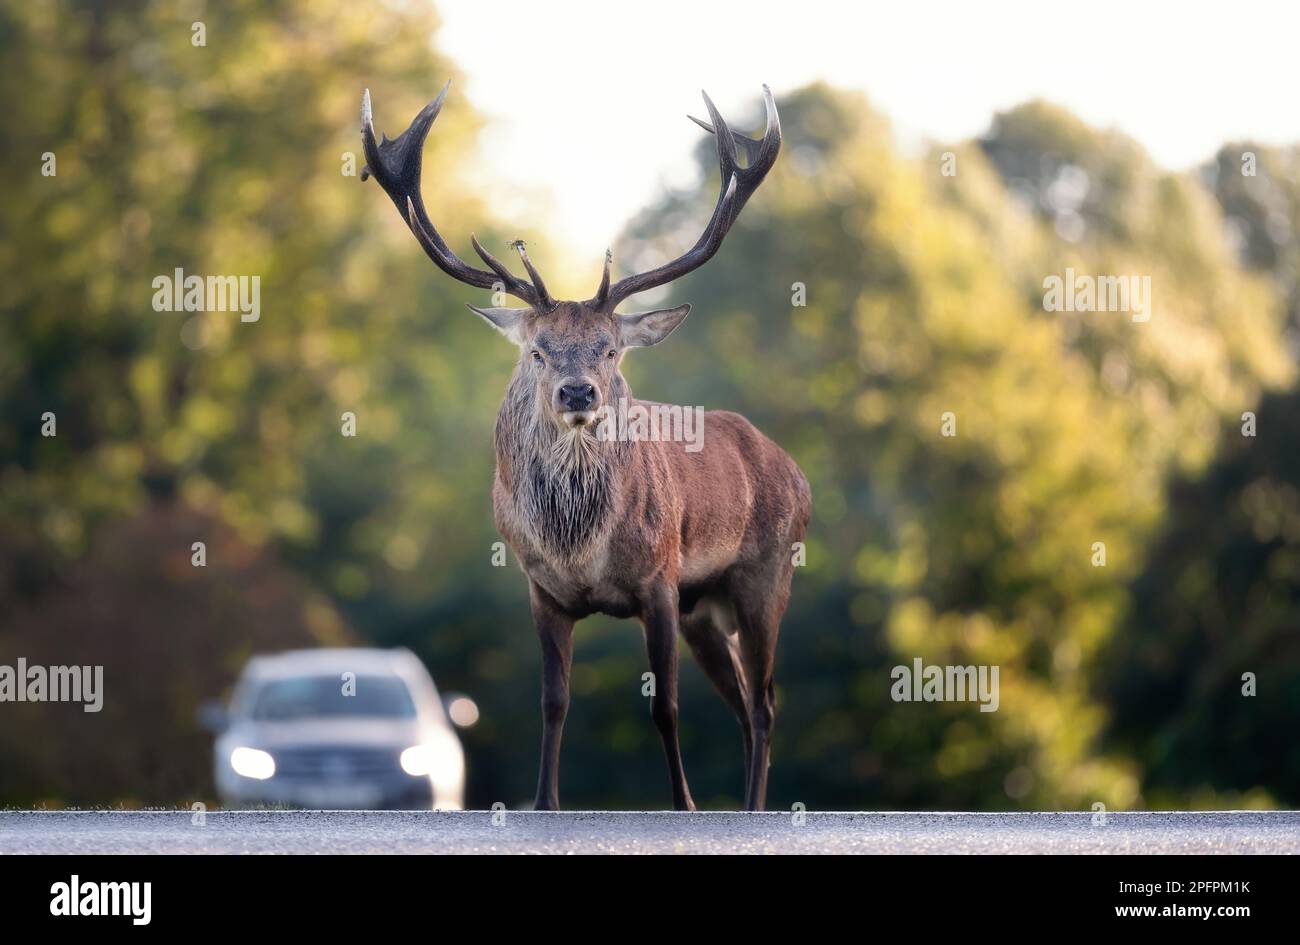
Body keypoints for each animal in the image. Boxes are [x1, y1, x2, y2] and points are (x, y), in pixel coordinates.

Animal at [361, 81, 810, 811]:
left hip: (767, 570)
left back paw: (749, 808)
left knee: (767, 701)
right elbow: (553, 701)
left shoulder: (660, 579)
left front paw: (685, 805)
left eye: (610, 348)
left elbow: (665, 707)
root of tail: (795, 469)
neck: (581, 543)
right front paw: (544, 802)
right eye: (538, 351)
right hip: (706, 607)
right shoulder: (542, 589)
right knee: (745, 703)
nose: (579, 392)